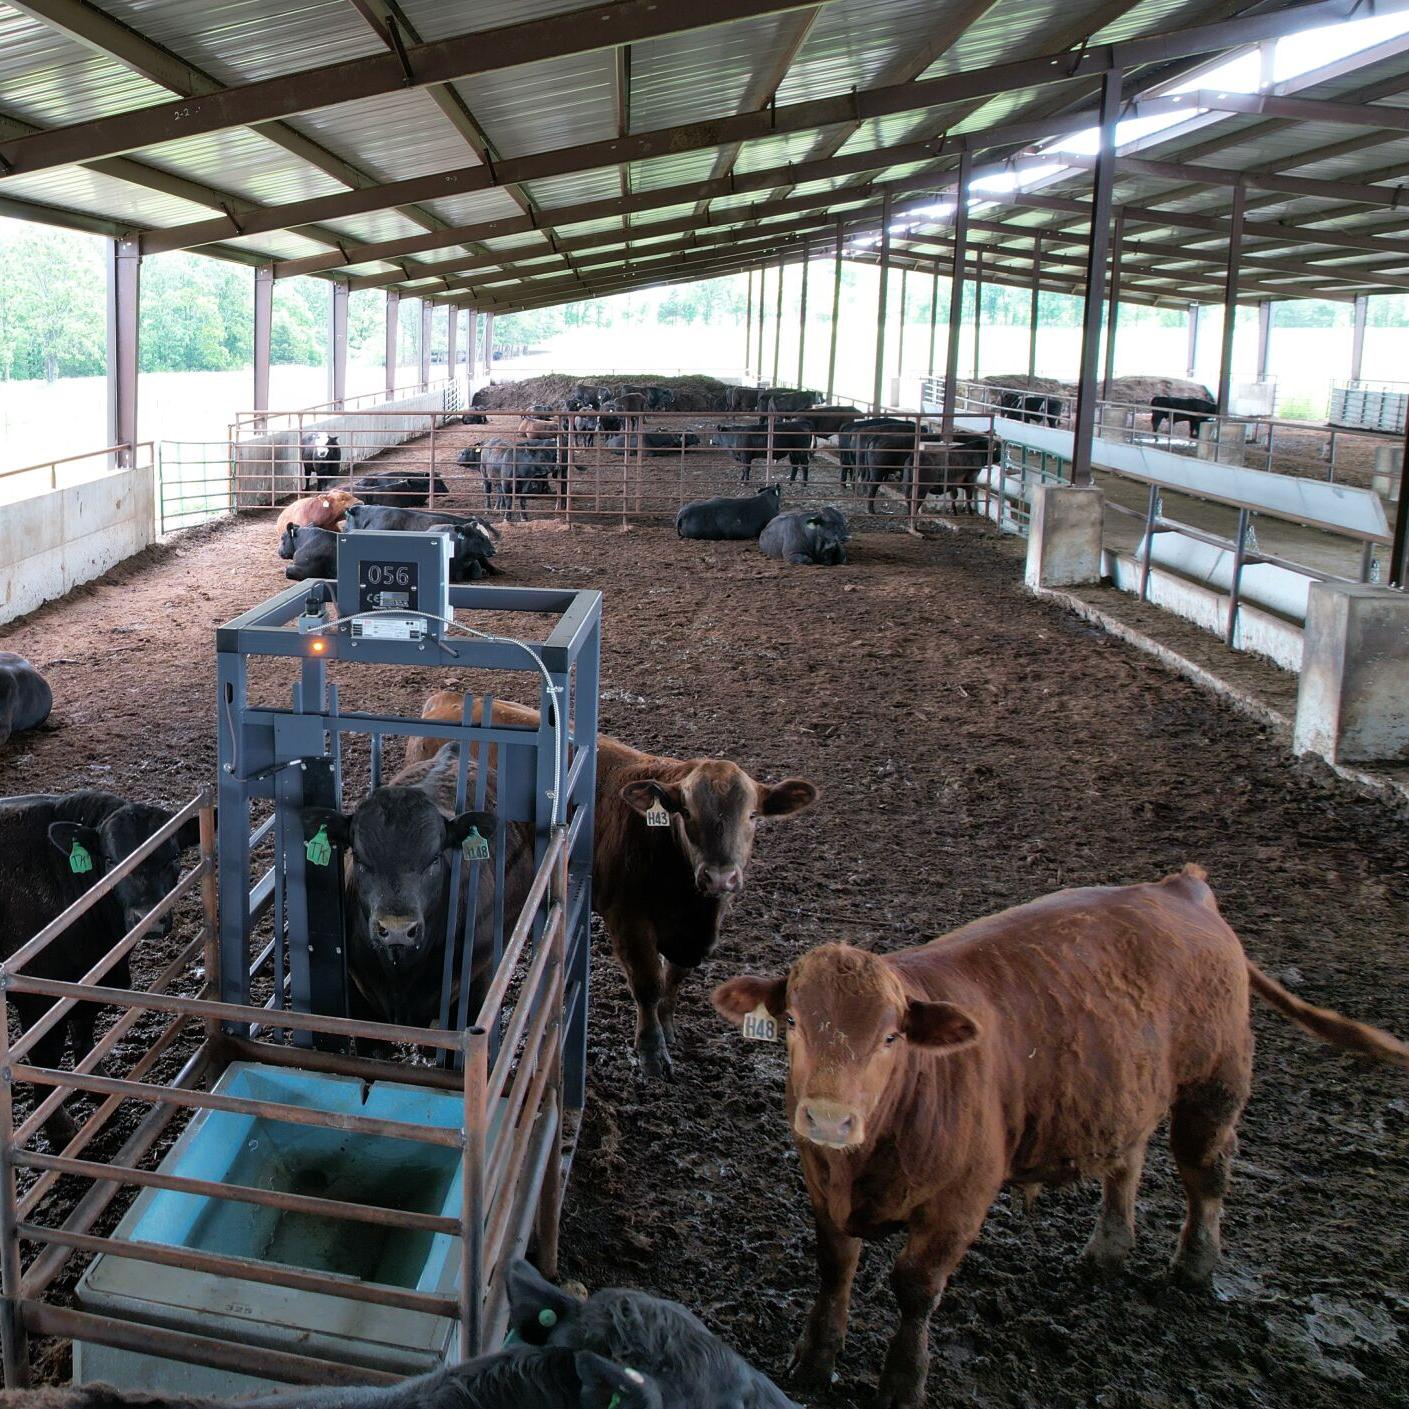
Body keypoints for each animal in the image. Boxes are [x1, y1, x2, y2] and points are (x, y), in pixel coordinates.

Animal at [0, 791, 202, 1147]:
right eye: (110, 860)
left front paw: (96, 1083)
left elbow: (84, 1031)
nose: (147, 919)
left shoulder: (87, 982)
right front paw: (58, 1126)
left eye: (174, 857)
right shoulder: (37, 998)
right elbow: (45, 1056)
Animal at [406, 696, 817, 1078]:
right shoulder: (628, 919)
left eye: (752, 815)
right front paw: (652, 1051)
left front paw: (668, 1027)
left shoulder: (697, 935)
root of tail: (445, 700)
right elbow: (648, 982)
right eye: (686, 812)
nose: (720, 876)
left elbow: (675, 976)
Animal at [712, 866, 1409, 1409]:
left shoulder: (961, 1201)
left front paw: (902, 1386)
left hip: (1215, 1086)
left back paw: (1193, 1266)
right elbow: (835, 1267)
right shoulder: (820, 1182)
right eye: (793, 1022)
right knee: (1127, 1165)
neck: (863, 1161)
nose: (828, 1118)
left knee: (1205, 1173)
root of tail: (1181, 889)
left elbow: (915, 1289)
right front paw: (813, 1360)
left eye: (890, 1037)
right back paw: (1108, 1250)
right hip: (1125, 1096)